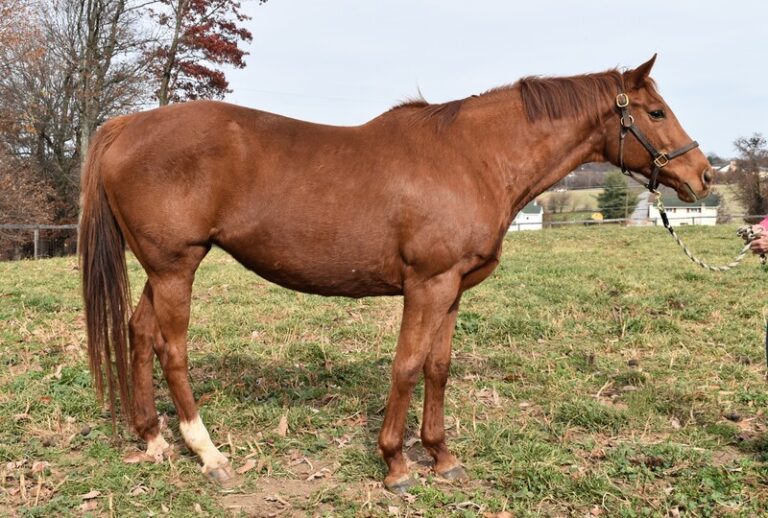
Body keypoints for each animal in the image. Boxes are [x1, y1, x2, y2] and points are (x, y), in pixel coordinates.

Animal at [79, 55, 712, 491]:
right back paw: (207, 452)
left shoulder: (453, 289)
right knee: (172, 349)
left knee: (139, 332)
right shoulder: (427, 285)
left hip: (164, 268)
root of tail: (126, 126)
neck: (472, 156)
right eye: (656, 112)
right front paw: (396, 463)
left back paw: (153, 438)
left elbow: (438, 368)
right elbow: (406, 367)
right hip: (176, 267)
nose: (703, 175)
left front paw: (442, 456)